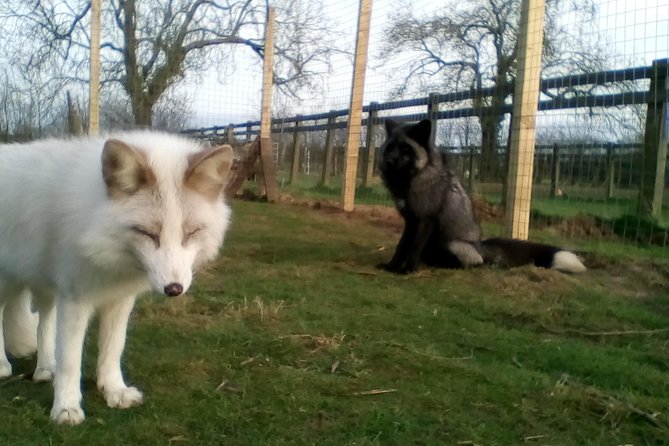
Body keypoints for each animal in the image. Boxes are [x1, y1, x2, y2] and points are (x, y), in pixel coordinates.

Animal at [0, 131, 234, 425]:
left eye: (191, 233)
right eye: (147, 233)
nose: (174, 289)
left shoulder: (119, 299)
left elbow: (113, 349)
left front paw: (114, 390)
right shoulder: (74, 298)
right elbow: (70, 360)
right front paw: (66, 407)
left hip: (46, 285)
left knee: (45, 323)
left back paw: (45, 368)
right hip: (9, 282)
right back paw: (3, 365)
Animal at [377, 119, 586, 274]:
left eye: (406, 149)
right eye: (390, 148)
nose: (388, 162)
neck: (413, 179)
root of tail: (480, 247)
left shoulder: (425, 220)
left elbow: (413, 249)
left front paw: (407, 270)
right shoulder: (410, 221)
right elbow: (401, 246)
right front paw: (392, 266)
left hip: (451, 243)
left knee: (475, 263)